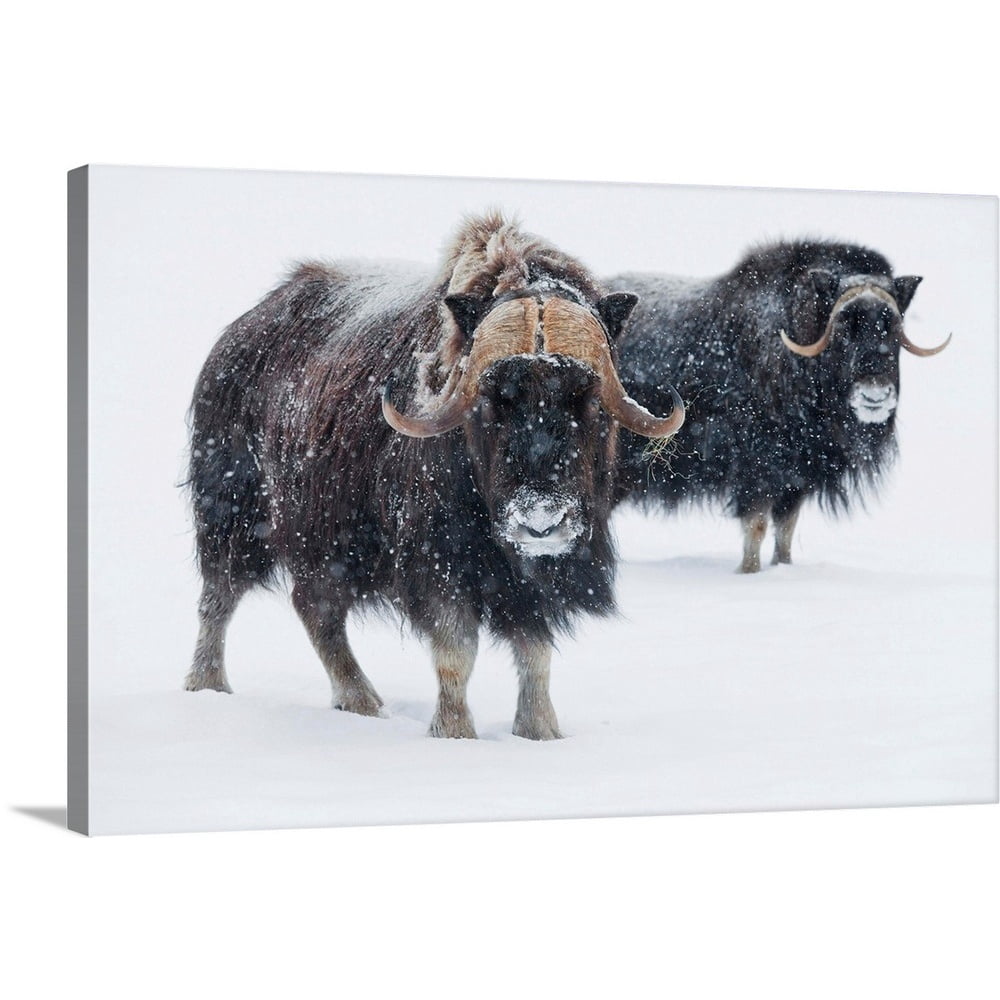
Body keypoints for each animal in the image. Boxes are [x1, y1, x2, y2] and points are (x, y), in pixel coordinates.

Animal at [184, 212, 684, 738]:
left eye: (585, 399)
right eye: (492, 400)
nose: (540, 523)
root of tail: (244, 325)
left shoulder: (536, 578)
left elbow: (536, 652)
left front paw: (540, 732)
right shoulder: (439, 564)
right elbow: (455, 651)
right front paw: (454, 733)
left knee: (314, 607)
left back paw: (361, 702)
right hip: (236, 510)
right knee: (223, 595)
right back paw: (210, 686)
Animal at [608, 239, 949, 572]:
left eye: (891, 327)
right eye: (843, 327)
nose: (874, 396)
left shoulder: (796, 479)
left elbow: (786, 530)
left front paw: (782, 568)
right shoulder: (757, 472)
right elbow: (757, 528)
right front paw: (749, 572)